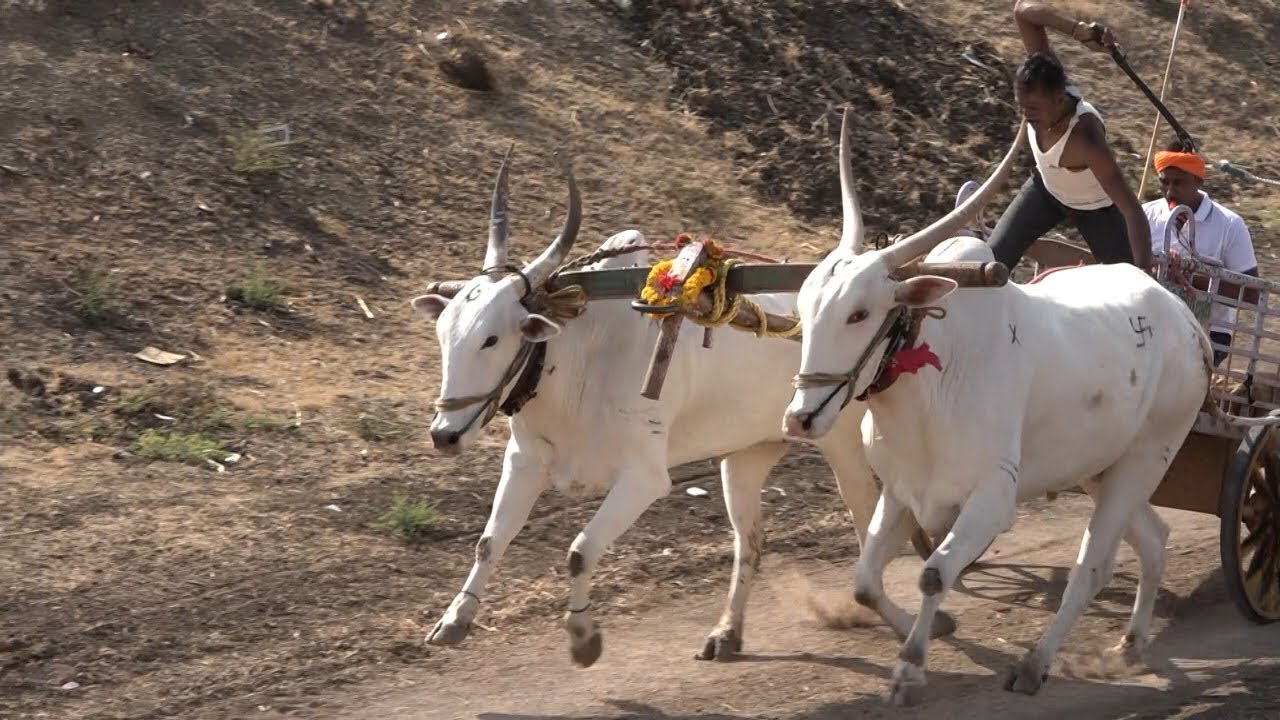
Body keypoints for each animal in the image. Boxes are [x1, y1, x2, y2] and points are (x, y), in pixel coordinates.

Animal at [411, 146, 882, 668]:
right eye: (443, 333)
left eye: (491, 338)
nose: (444, 434)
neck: (580, 358)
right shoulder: (525, 461)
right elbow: (488, 543)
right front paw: (454, 620)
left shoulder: (644, 478)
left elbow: (579, 551)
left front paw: (583, 638)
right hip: (746, 456)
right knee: (750, 541)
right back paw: (726, 633)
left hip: (841, 438)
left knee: (866, 509)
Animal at [781, 111, 1220, 704]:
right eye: (805, 306)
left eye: (859, 313)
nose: (800, 418)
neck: (932, 386)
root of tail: (1187, 322)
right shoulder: (901, 491)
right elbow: (865, 582)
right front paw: (933, 633)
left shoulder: (993, 496)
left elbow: (933, 574)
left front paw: (909, 667)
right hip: (1099, 468)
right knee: (1153, 541)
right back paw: (1130, 644)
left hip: (1146, 460)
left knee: (1091, 569)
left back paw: (1036, 664)